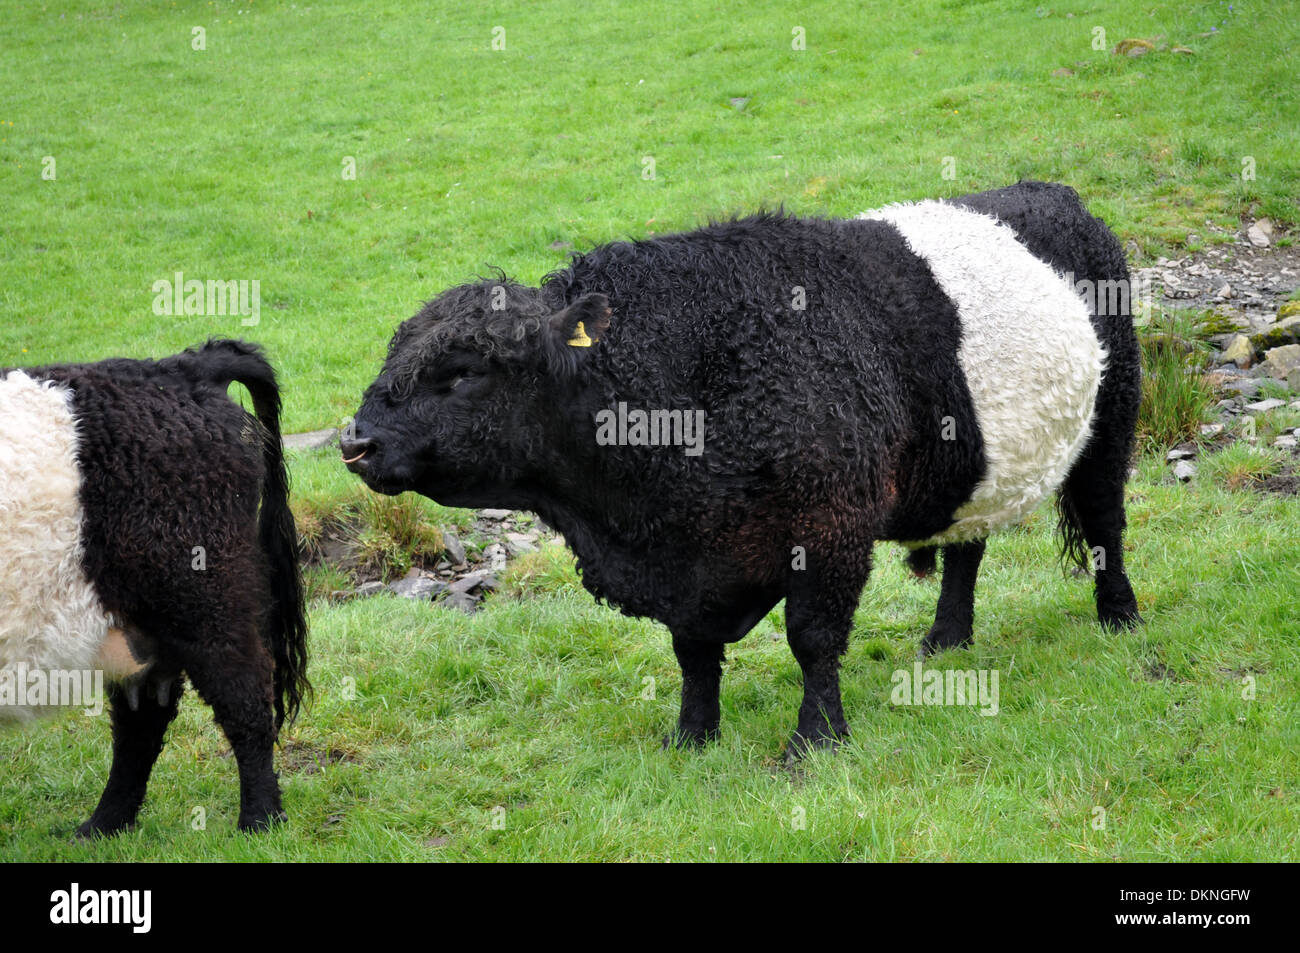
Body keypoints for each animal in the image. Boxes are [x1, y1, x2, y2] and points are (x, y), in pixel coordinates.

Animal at [0, 340, 309, 833]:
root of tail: (178, 367)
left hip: (203, 596)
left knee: (242, 695)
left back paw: (259, 818)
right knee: (143, 717)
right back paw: (103, 825)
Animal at [343, 181, 1141, 759]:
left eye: (463, 371)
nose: (356, 440)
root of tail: (1050, 193)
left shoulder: (830, 529)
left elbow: (813, 640)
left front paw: (816, 743)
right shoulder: (686, 566)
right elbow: (692, 653)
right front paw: (692, 740)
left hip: (1113, 418)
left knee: (1106, 520)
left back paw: (1121, 618)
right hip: (970, 462)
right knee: (965, 541)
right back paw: (947, 637)